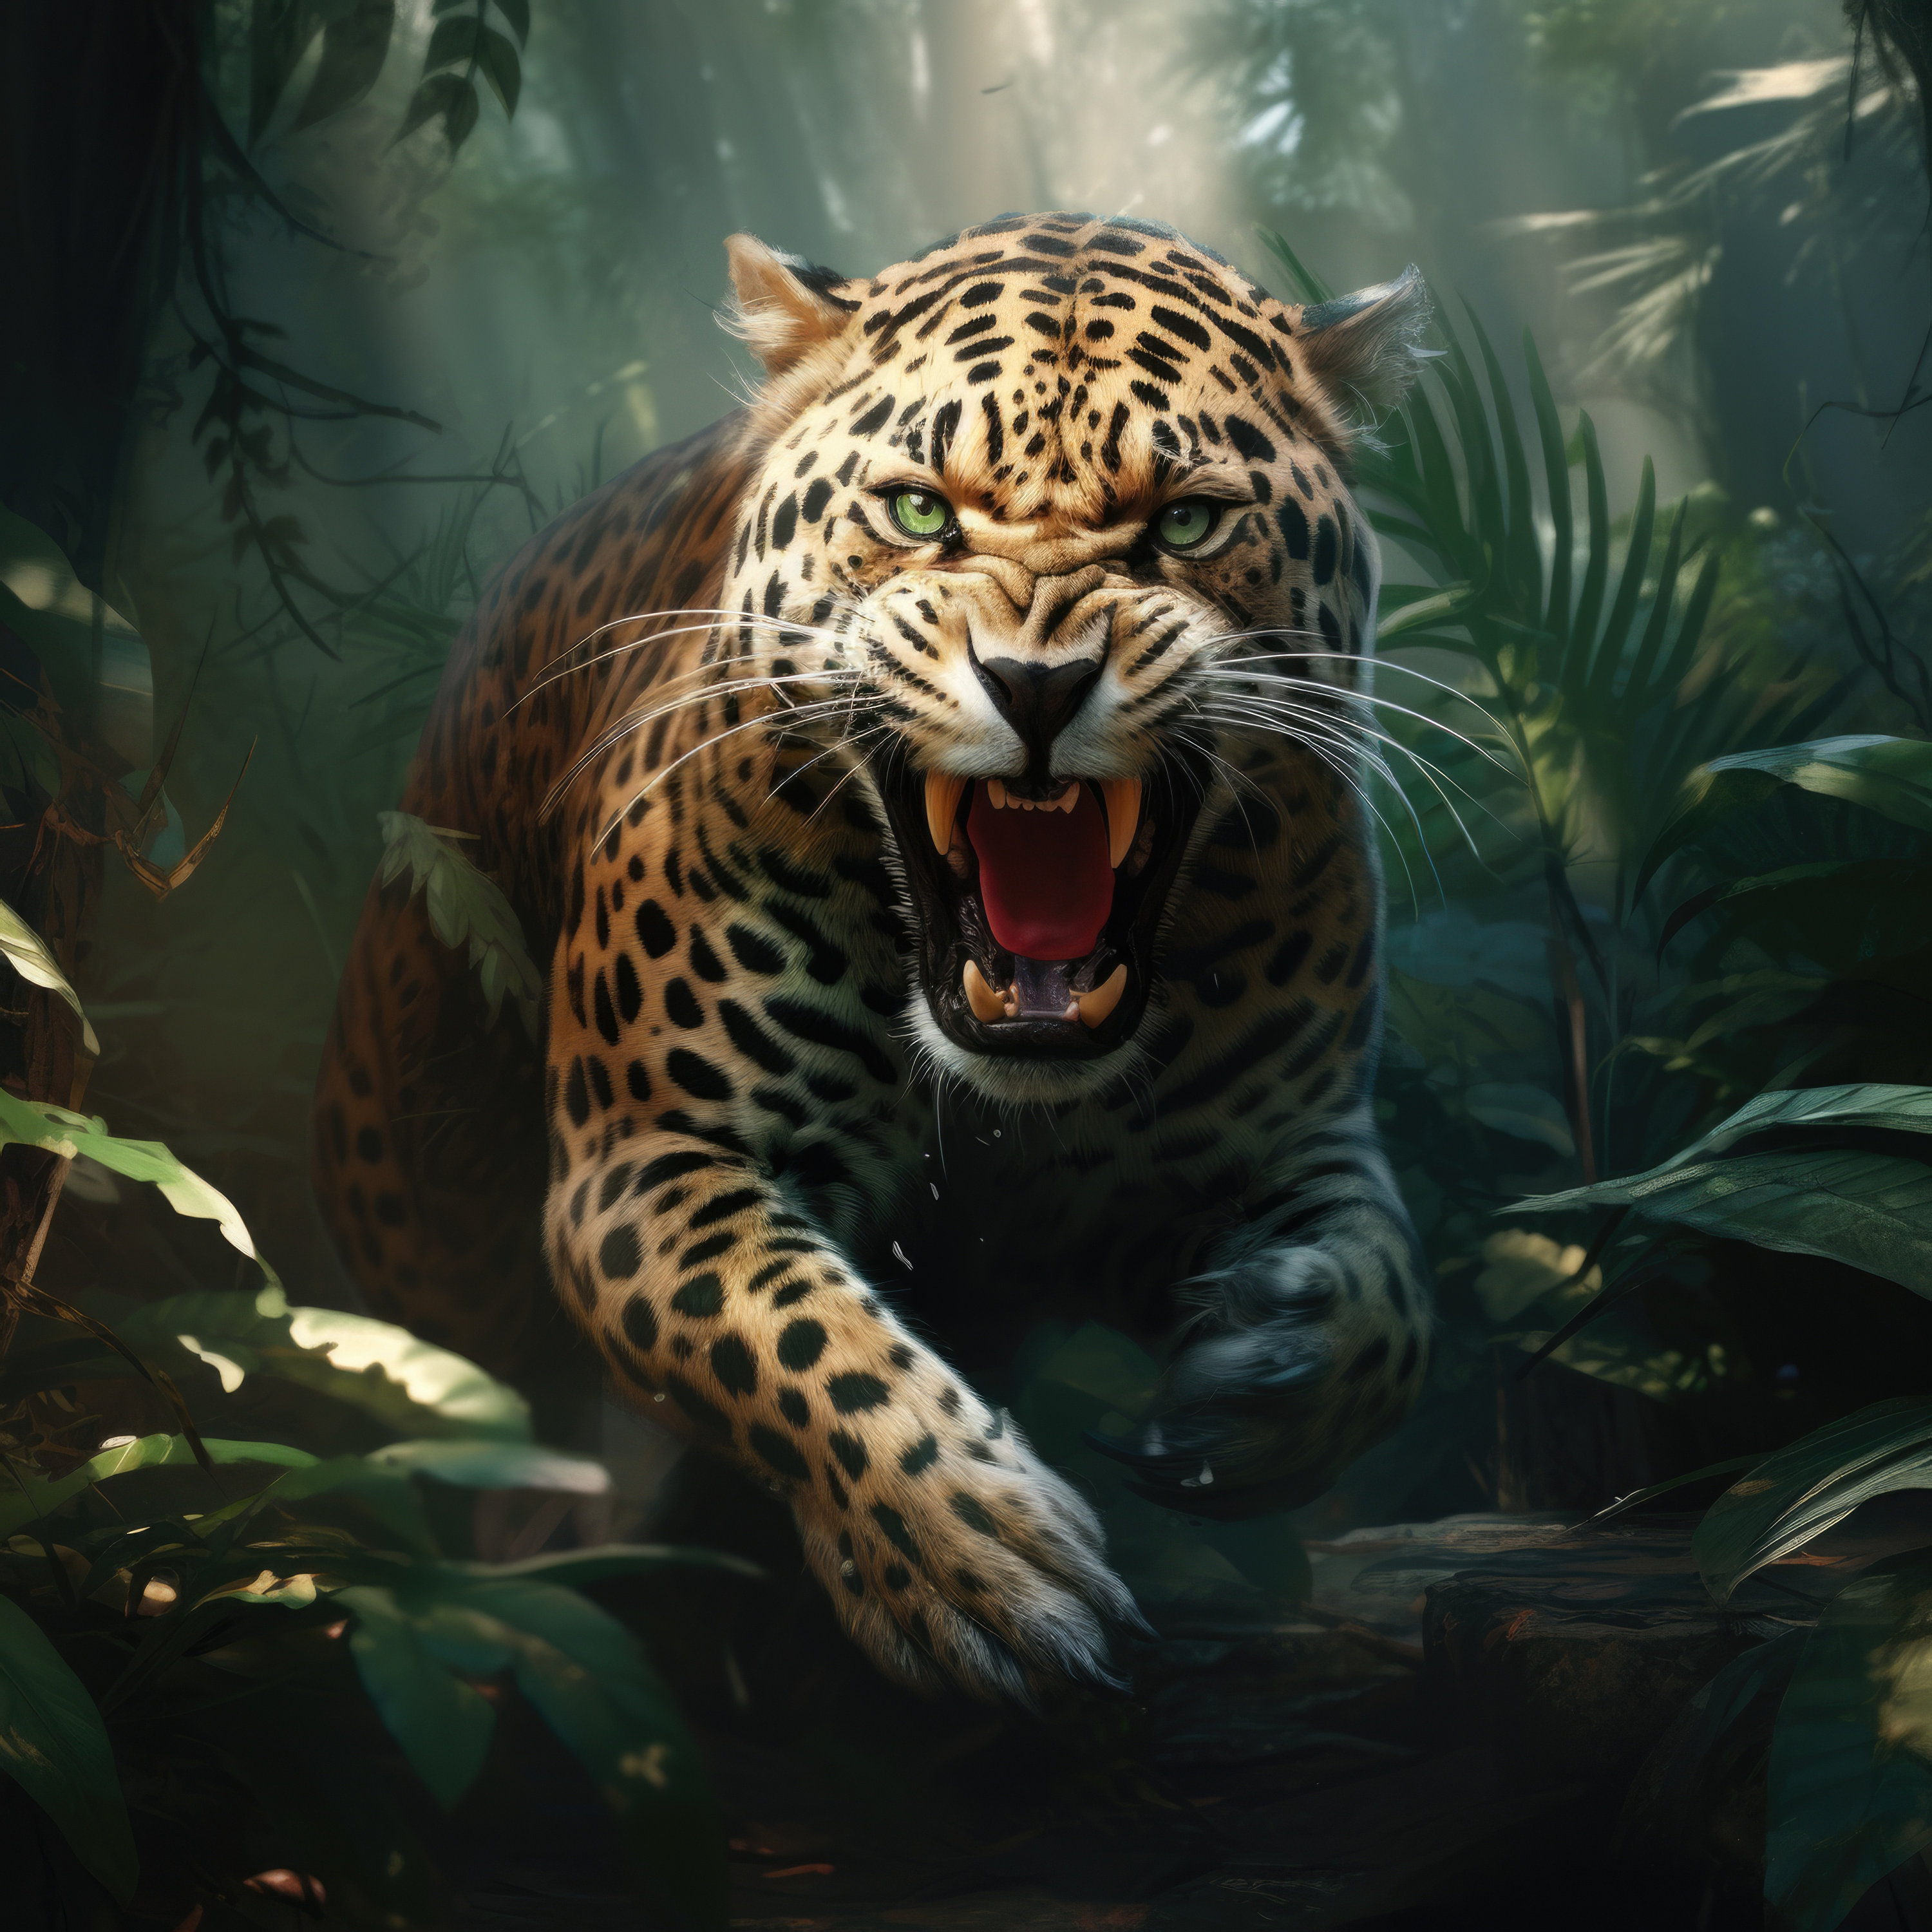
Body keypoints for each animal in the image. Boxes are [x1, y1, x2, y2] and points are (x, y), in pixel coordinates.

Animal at [312, 210, 1432, 1706]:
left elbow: (1391, 1298)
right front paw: (975, 1564)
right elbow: (793, 1337)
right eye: (917, 512)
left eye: (1188, 522)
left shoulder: (1289, 1137)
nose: (1036, 685)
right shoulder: (646, 1156)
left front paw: (1266, 1377)